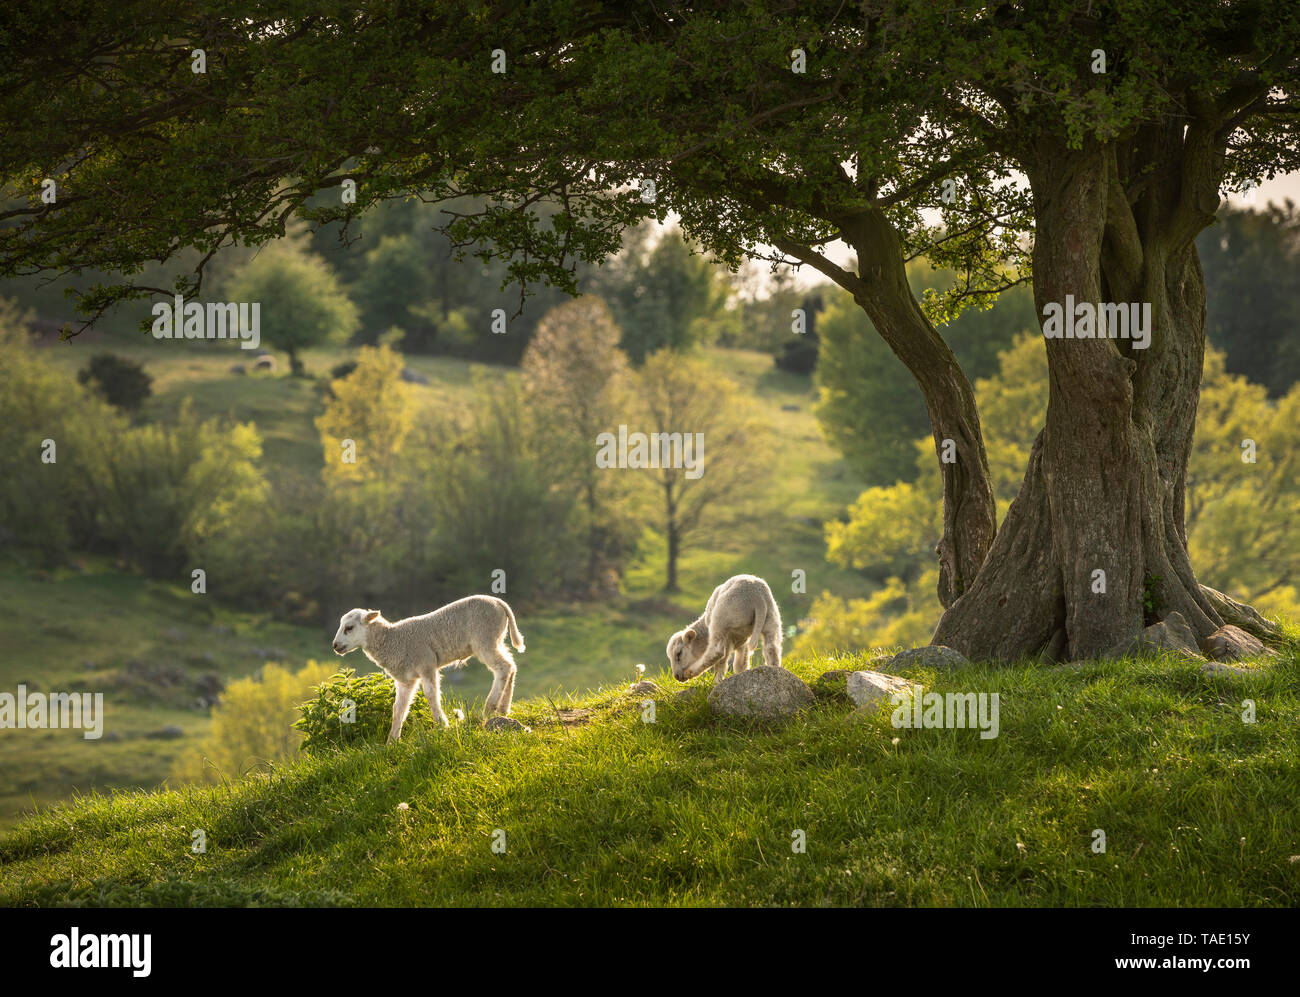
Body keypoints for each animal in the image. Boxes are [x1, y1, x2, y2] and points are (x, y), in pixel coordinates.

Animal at [331, 595, 525, 742]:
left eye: (349, 628)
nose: (335, 646)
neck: (392, 639)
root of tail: (499, 602)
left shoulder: (426, 663)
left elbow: (431, 695)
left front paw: (442, 724)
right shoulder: (406, 680)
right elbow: (398, 708)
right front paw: (392, 741)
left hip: (484, 638)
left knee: (503, 667)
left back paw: (490, 707)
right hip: (495, 639)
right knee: (511, 665)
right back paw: (504, 708)